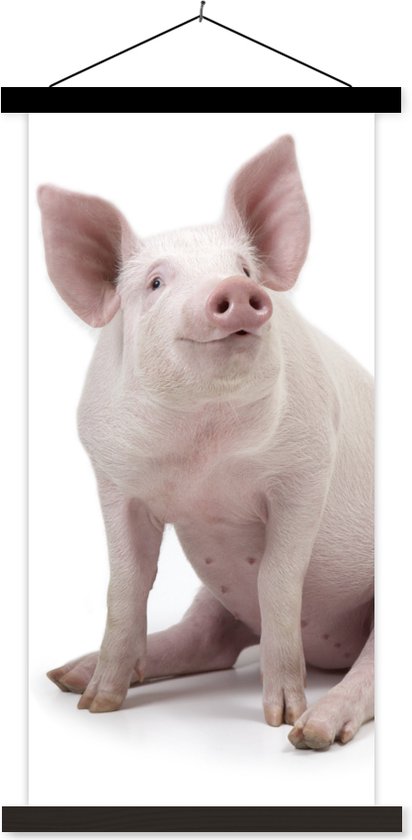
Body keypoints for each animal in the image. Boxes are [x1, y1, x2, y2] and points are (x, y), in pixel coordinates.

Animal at [38, 135, 374, 750]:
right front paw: (96, 705)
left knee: (375, 666)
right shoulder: (112, 476)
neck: (202, 452)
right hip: (214, 603)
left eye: (244, 267)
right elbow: (126, 585)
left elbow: (277, 580)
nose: (237, 289)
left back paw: (312, 731)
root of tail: (330, 653)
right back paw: (68, 674)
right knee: (209, 640)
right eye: (155, 282)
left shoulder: (308, 466)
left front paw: (281, 718)